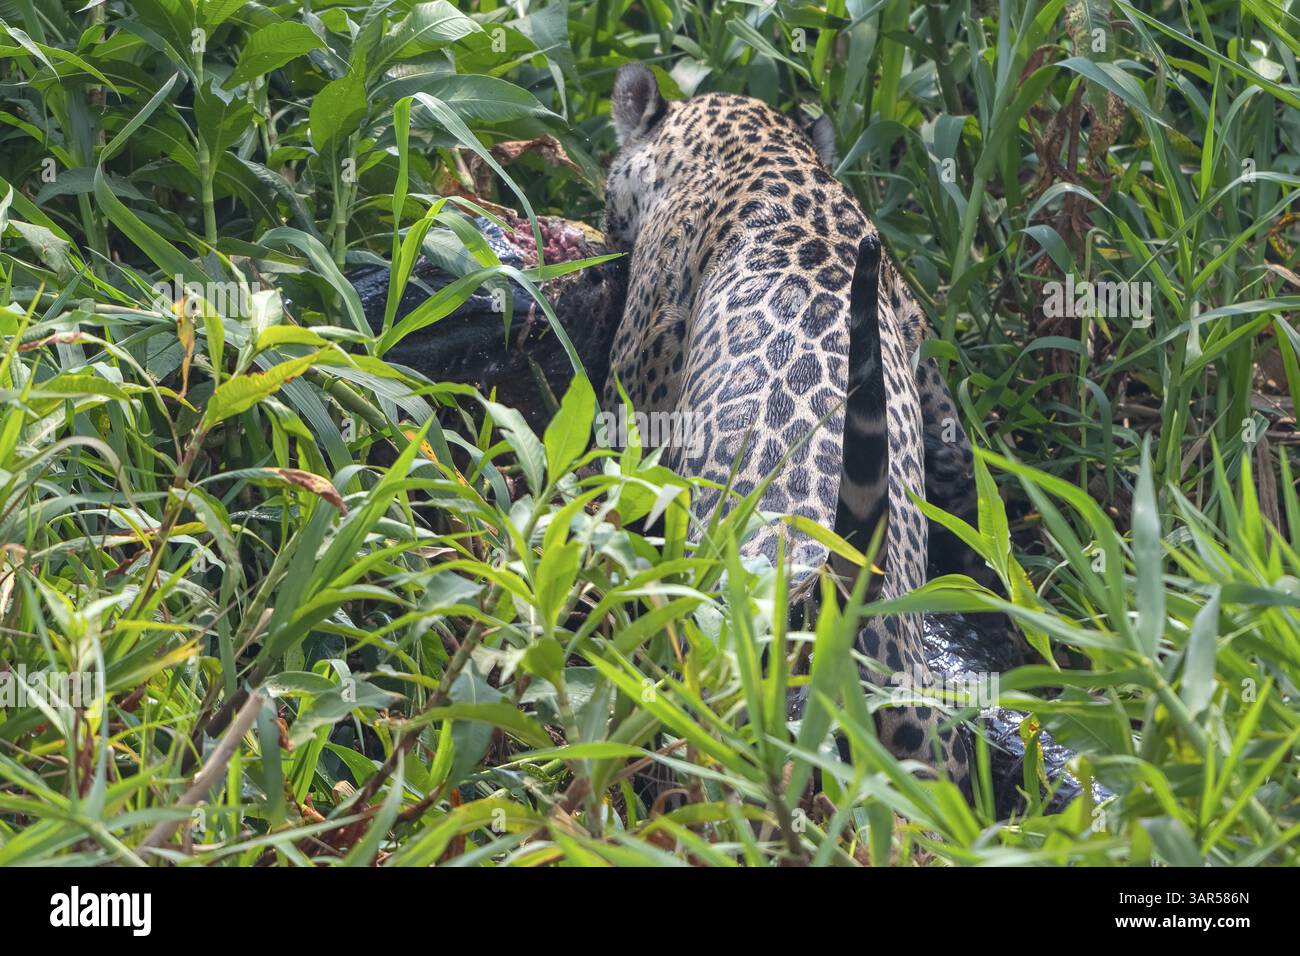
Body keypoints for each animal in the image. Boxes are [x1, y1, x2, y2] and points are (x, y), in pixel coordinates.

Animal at [601, 63, 990, 789]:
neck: (765, 149)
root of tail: (828, 592)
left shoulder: (643, 362)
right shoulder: (919, 344)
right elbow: (959, 468)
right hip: (918, 730)